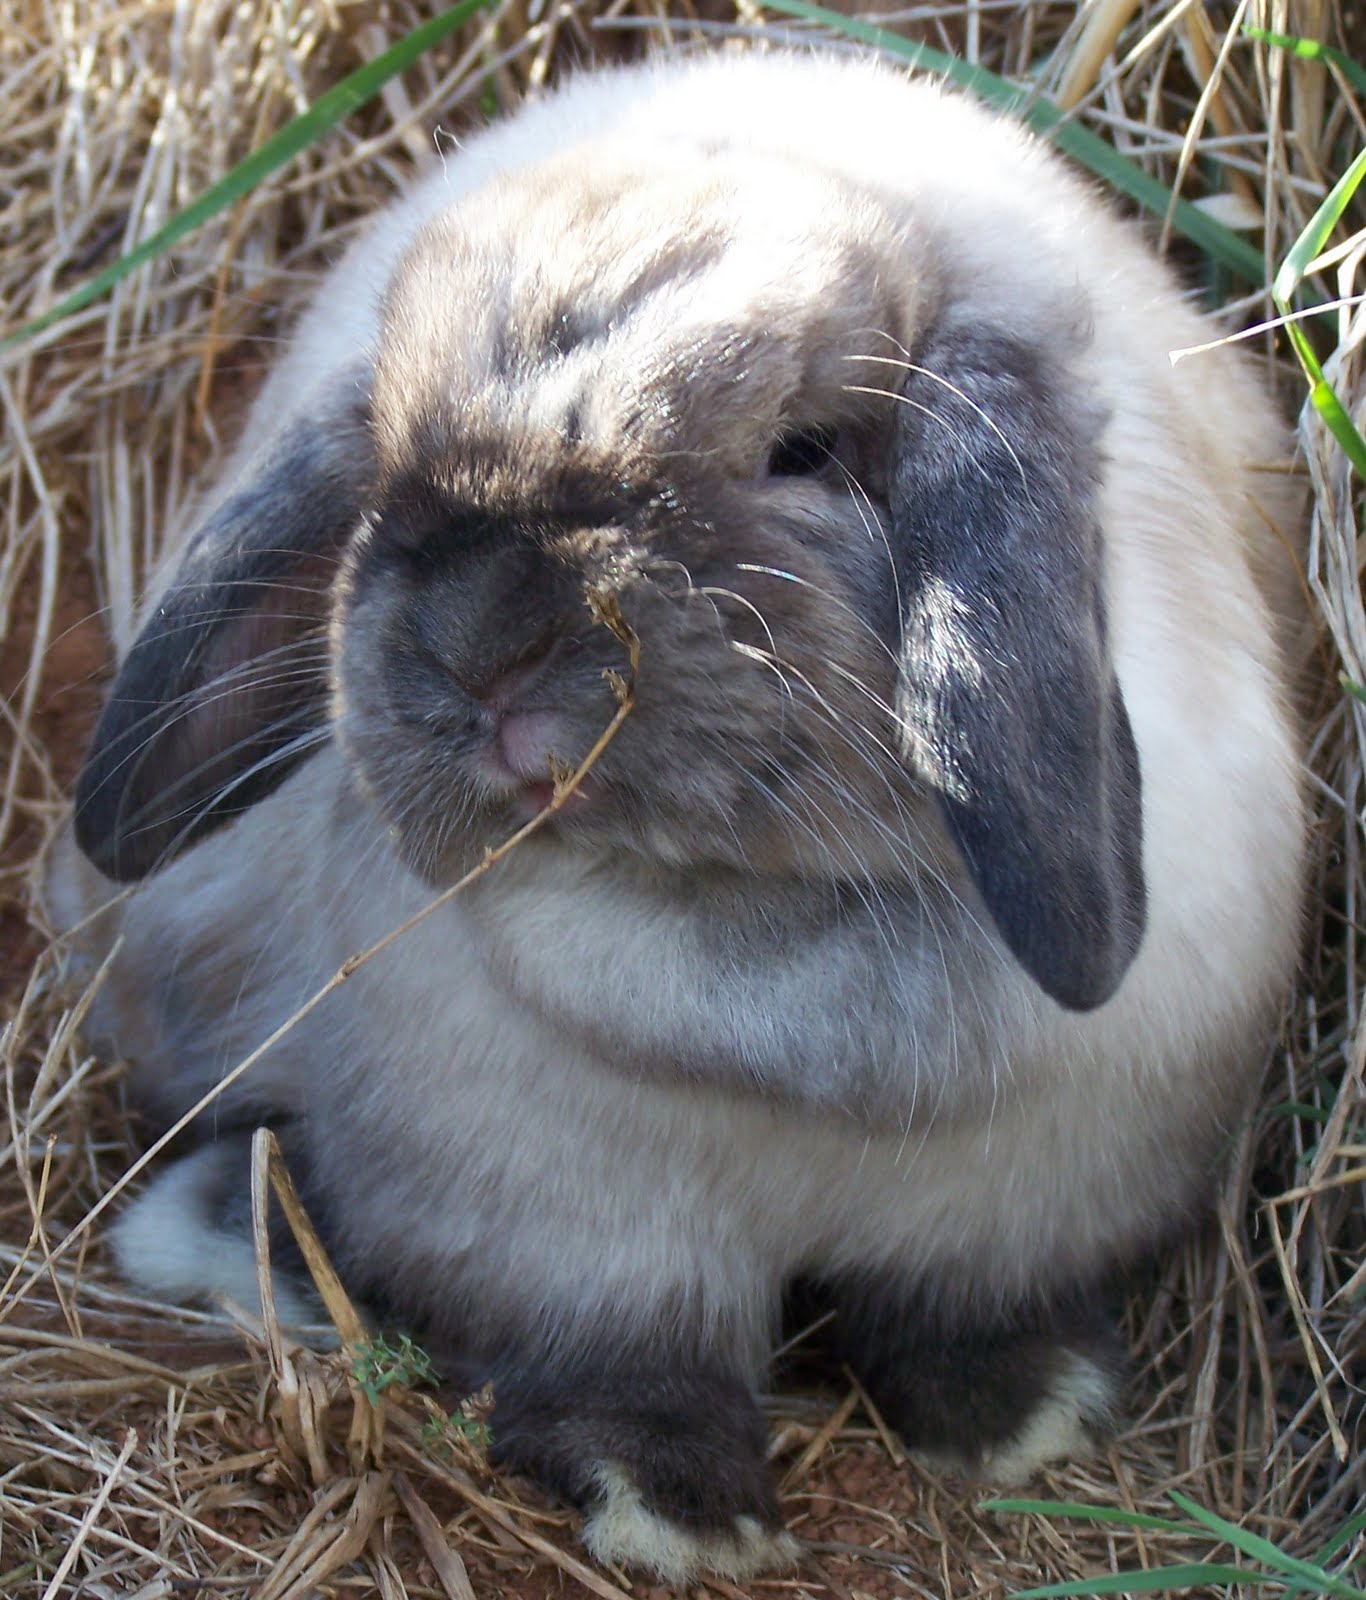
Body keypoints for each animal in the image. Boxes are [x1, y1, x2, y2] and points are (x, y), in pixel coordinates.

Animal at [49, 46, 1307, 1582]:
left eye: (803, 450)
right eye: (387, 472)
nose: (481, 640)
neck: (746, 940)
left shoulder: (1011, 1226)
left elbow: (961, 1328)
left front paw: (1021, 1424)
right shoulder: (572, 1243)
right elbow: (623, 1370)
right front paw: (681, 1514)